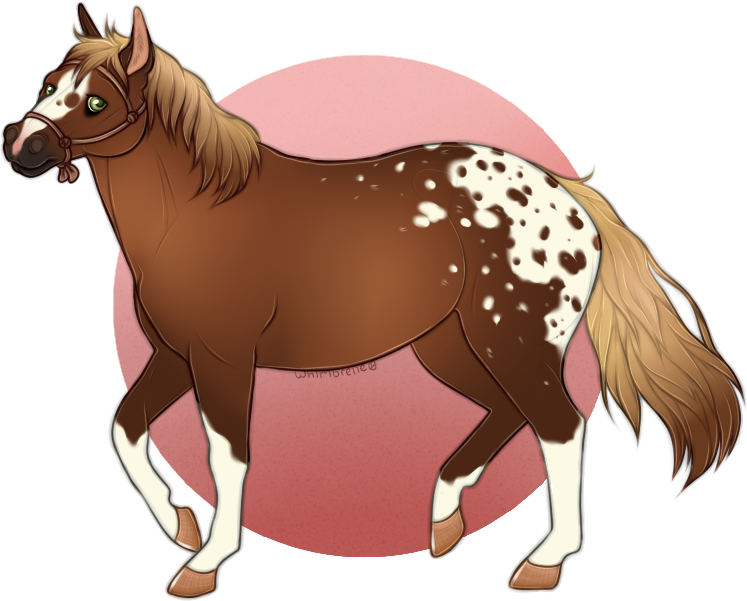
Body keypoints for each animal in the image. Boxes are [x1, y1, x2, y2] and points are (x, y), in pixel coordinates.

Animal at [4, 5, 743, 597]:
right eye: (49, 85)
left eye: (95, 104)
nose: (22, 147)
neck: (196, 215)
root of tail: (568, 197)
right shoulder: (175, 356)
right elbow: (125, 430)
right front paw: (181, 527)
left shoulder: (223, 358)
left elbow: (227, 455)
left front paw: (205, 561)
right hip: (450, 346)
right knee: (509, 413)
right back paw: (444, 520)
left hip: (514, 340)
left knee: (558, 426)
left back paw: (541, 562)